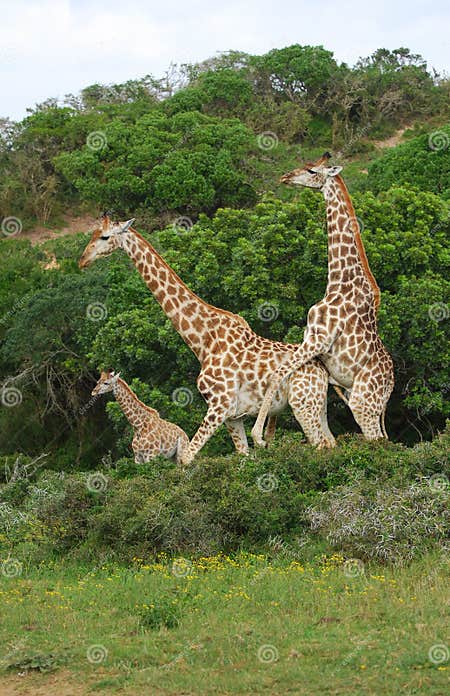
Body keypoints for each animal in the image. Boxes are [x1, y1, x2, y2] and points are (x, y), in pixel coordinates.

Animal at [79, 214, 335, 465]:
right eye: (92, 234)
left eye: (104, 236)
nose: (82, 261)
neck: (203, 342)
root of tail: (322, 368)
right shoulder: (233, 417)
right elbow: (242, 457)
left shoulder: (219, 407)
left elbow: (186, 459)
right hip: (316, 405)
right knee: (331, 442)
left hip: (303, 404)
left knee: (321, 445)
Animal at [251, 153, 394, 447]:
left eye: (311, 170)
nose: (285, 176)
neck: (338, 281)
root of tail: (391, 385)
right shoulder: (311, 342)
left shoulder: (318, 340)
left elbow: (277, 374)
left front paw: (258, 437)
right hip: (363, 401)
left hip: (364, 403)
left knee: (377, 440)